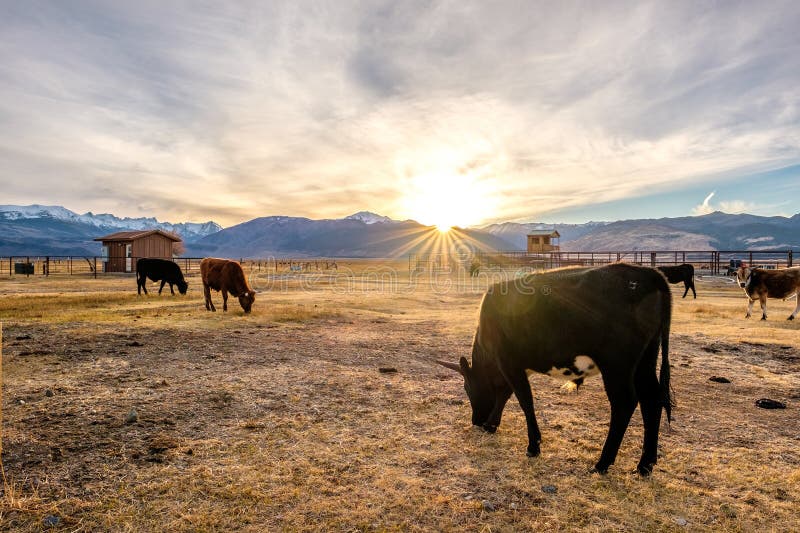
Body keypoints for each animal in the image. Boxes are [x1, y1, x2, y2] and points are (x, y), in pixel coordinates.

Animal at [437, 263, 673, 476]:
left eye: (468, 388)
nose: (475, 421)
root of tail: (649, 273)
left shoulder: (508, 362)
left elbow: (524, 400)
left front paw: (533, 446)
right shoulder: (513, 367)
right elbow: (506, 394)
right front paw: (492, 424)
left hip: (617, 365)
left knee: (624, 403)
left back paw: (602, 463)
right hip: (645, 360)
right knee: (651, 400)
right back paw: (645, 465)